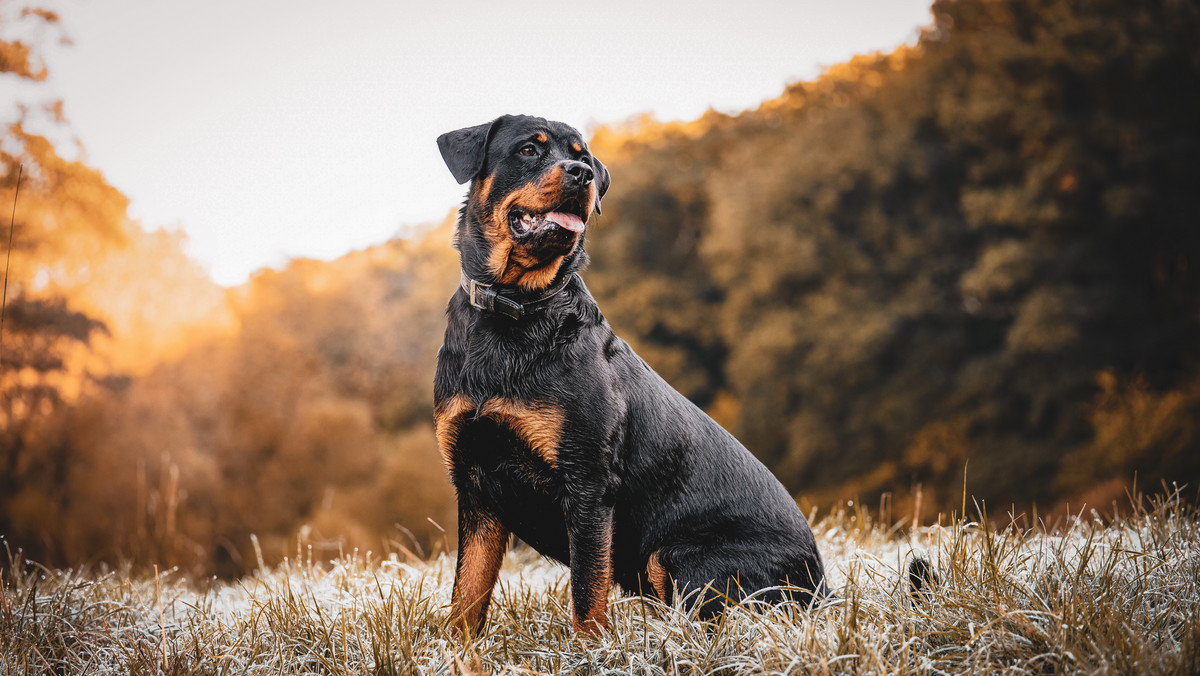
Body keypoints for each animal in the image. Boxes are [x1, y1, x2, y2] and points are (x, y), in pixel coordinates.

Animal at [436, 113, 830, 638]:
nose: (582, 174)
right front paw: (457, 651)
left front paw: (590, 650)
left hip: (677, 556)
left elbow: (587, 596)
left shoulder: (587, 485)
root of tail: (823, 587)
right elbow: (467, 595)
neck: (516, 310)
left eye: (582, 156)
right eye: (528, 150)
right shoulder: (476, 486)